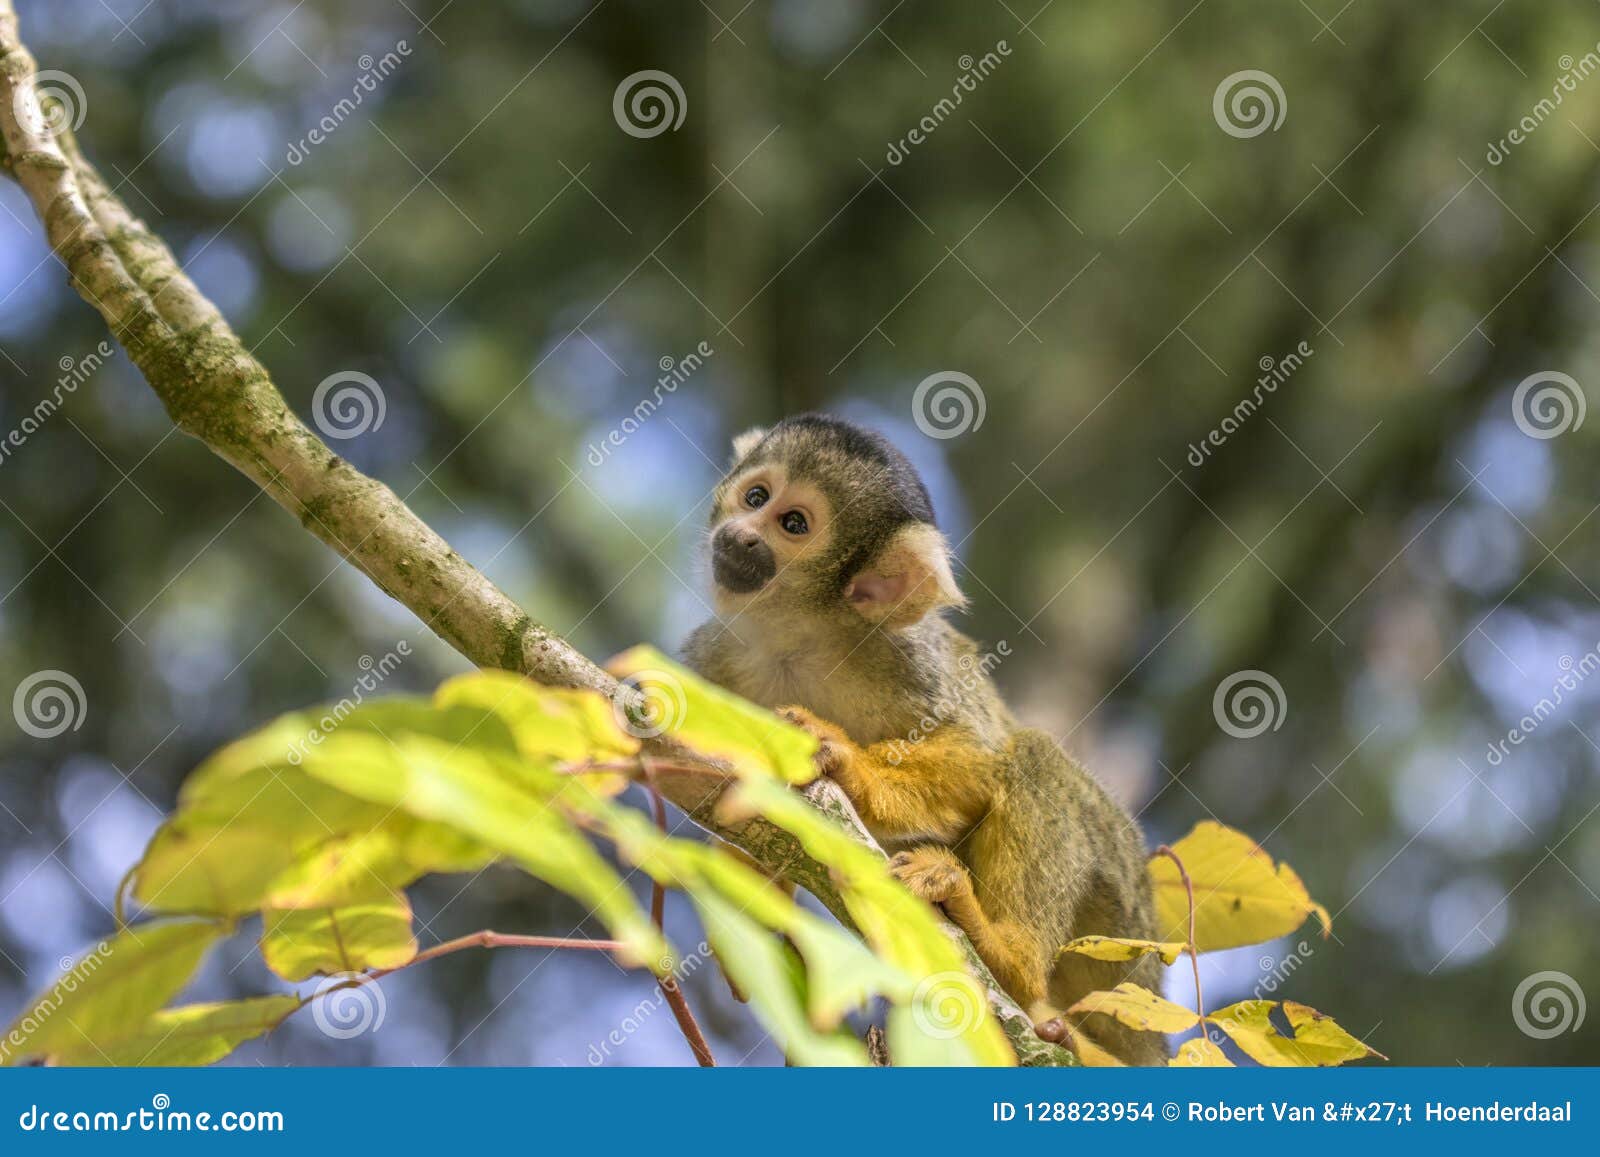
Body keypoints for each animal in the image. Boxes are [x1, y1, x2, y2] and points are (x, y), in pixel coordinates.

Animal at [681, 413, 1169, 1066]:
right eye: (755, 496)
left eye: (793, 524)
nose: (742, 535)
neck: (797, 640)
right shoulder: (710, 662)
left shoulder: (905, 655)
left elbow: (978, 758)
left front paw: (847, 763)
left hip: (1125, 937)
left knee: (1032, 757)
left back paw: (1008, 956)